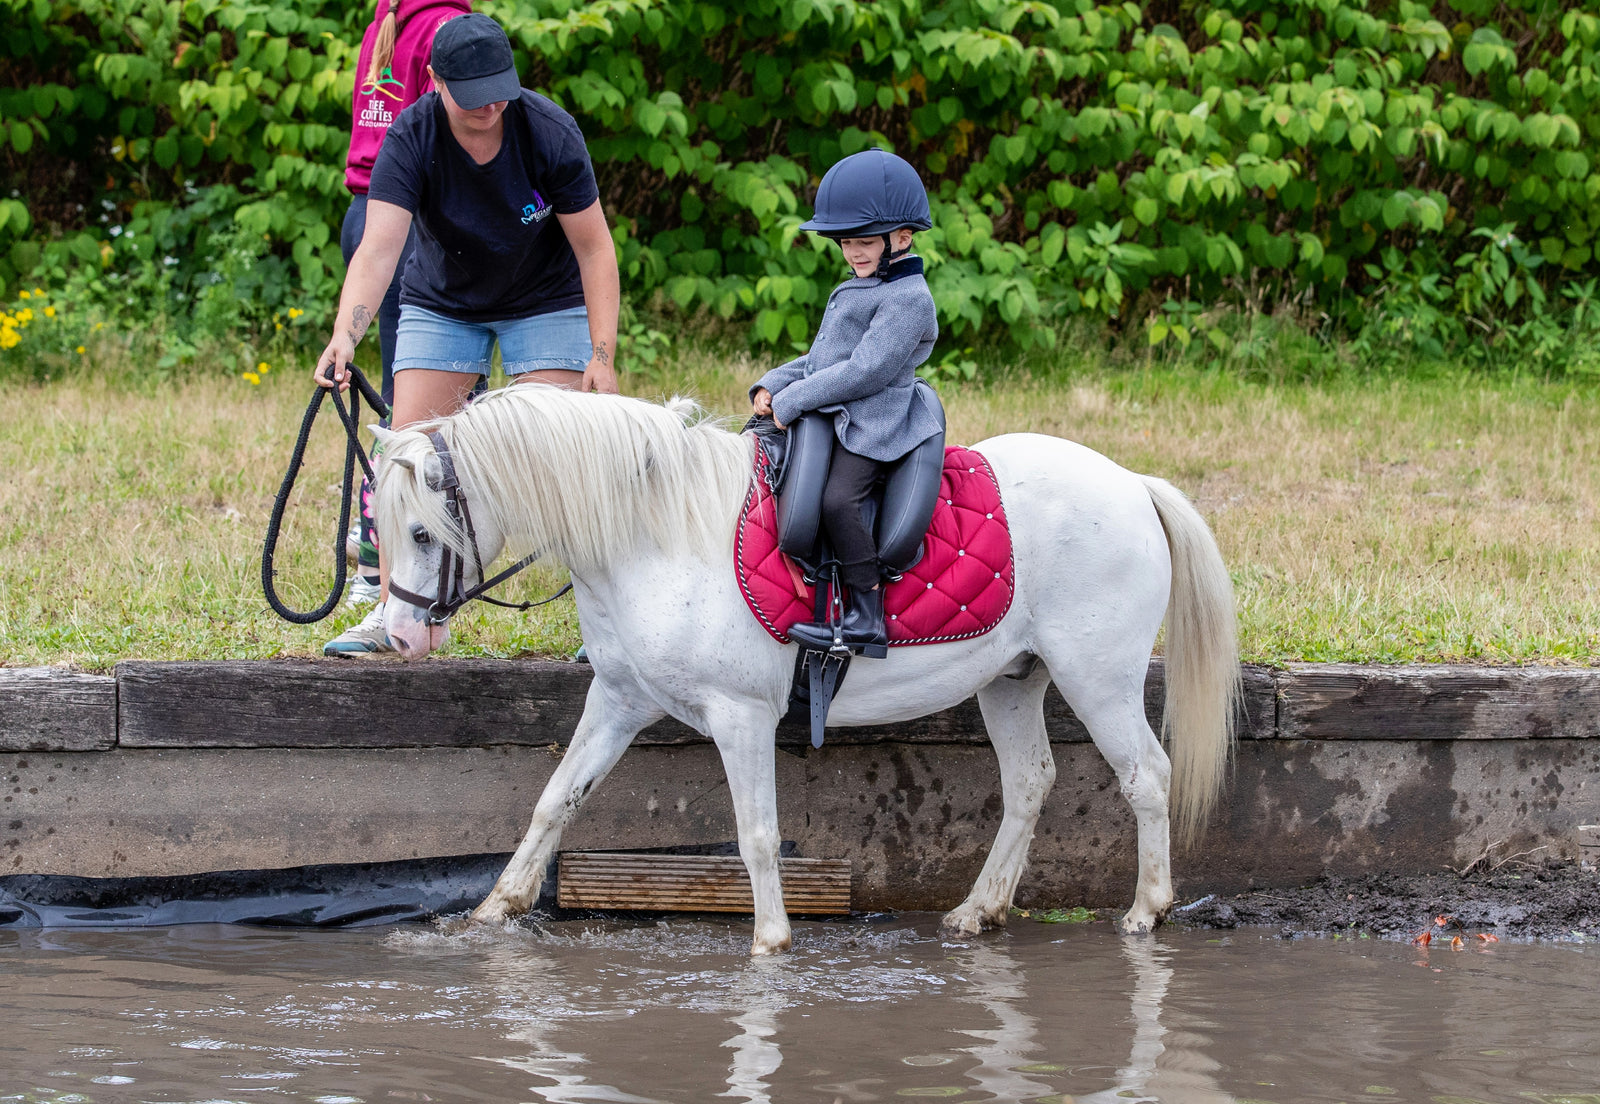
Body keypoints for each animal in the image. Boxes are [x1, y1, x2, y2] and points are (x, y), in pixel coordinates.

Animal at [369, 384, 1240, 956]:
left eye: (421, 531)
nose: (404, 638)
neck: (652, 532)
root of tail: (1133, 485)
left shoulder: (740, 715)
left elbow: (756, 834)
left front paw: (771, 942)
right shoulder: (618, 701)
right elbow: (555, 801)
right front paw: (494, 910)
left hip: (1098, 677)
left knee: (1147, 776)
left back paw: (1147, 910)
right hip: (1012, 679)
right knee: (1031, 781)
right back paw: (978, 911)